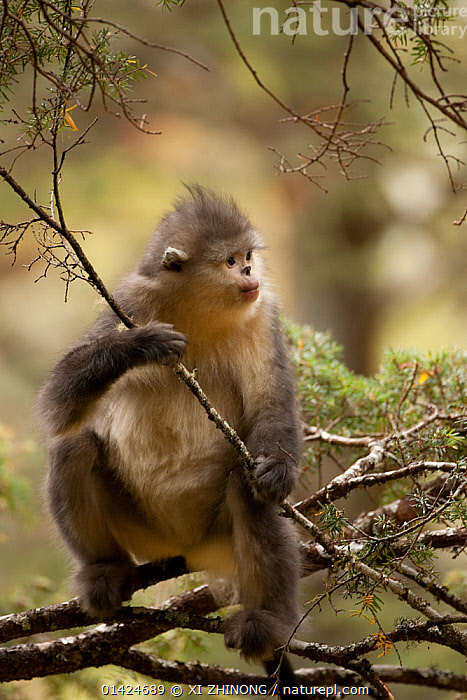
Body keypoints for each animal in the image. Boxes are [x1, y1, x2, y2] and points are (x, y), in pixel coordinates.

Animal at [36, 185, 302, 665]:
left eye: (247, 255)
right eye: (230, 260)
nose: (249, 271)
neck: (198, 310)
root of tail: (186, 547)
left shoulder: (262, 312)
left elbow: (271, 404)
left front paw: (277, 470)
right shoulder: (130, 301)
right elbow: (57, 406)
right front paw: (141, 344)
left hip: (220, 536)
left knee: (245, 486)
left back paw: (268, 622)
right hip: (142, 532)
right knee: (73, 446)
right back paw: (104, 569)